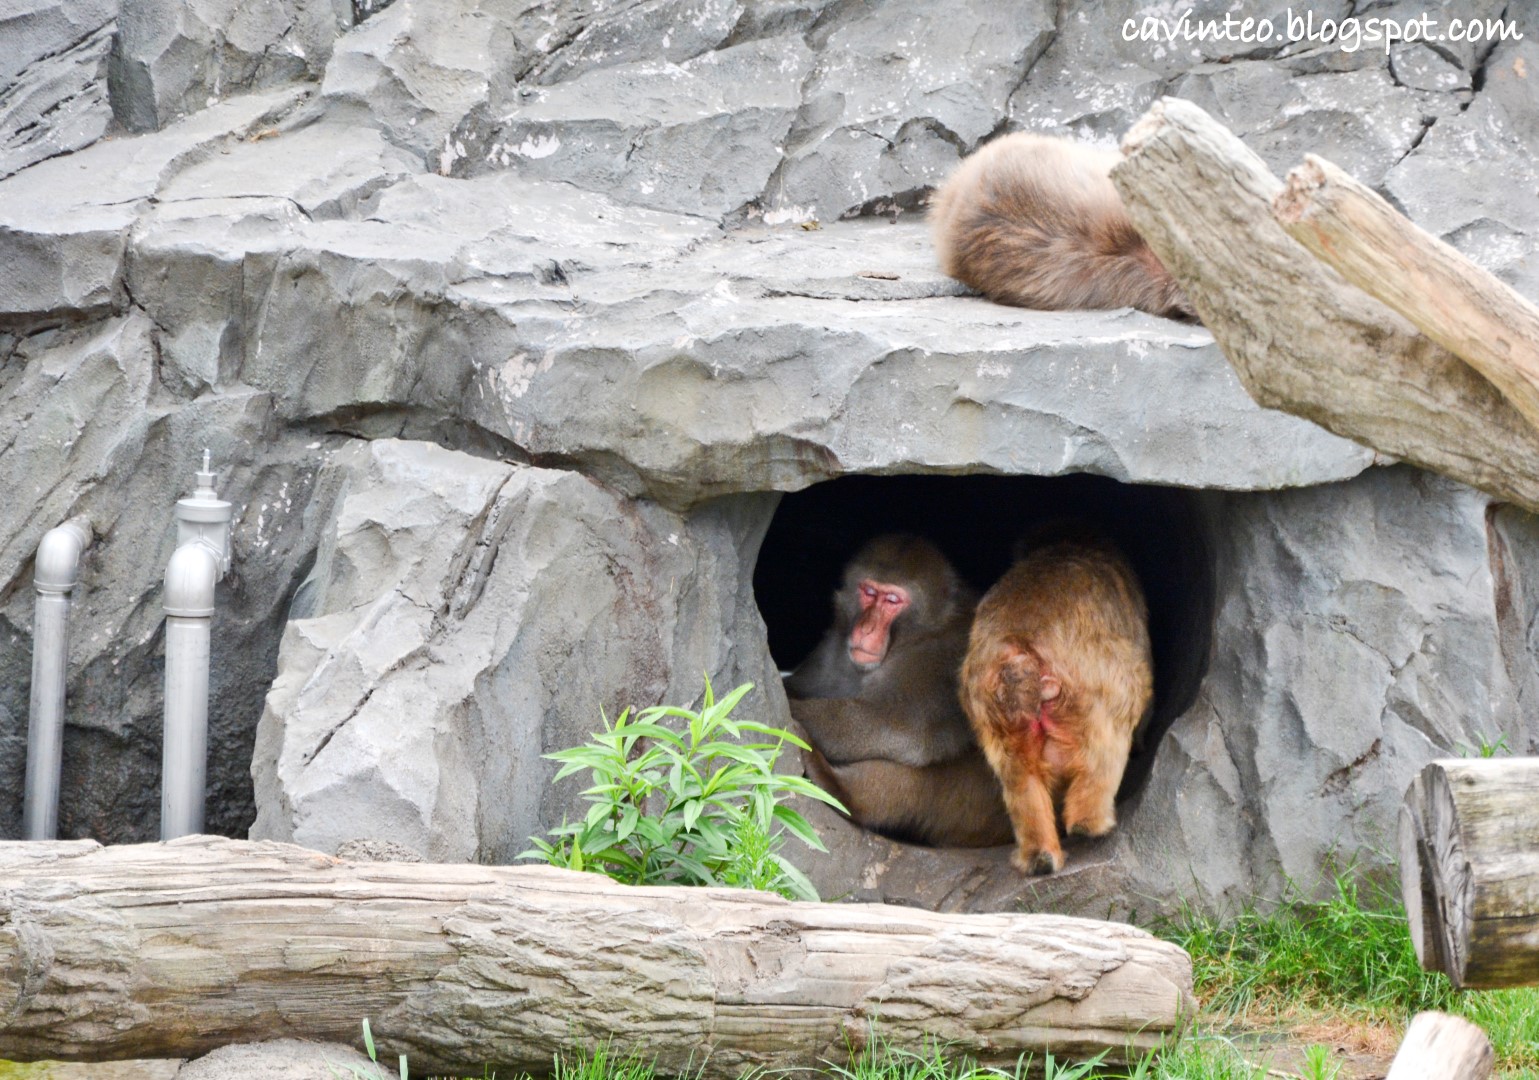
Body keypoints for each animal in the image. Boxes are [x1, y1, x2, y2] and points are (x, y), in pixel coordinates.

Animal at [783, 534, 1013, 848]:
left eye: (892, 600)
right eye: (869, 592)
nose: (866, 628)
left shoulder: (939, 659)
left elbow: (897, 726)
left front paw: (790, 707)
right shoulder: (834, 648)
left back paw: (841, 791)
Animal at [958, 537, 1153, 875]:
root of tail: (1020, 656)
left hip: (997, 715)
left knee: (1021, 782)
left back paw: (1040, 855)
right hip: (1092, 688)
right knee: (1105, 749)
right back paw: (1090, 823)